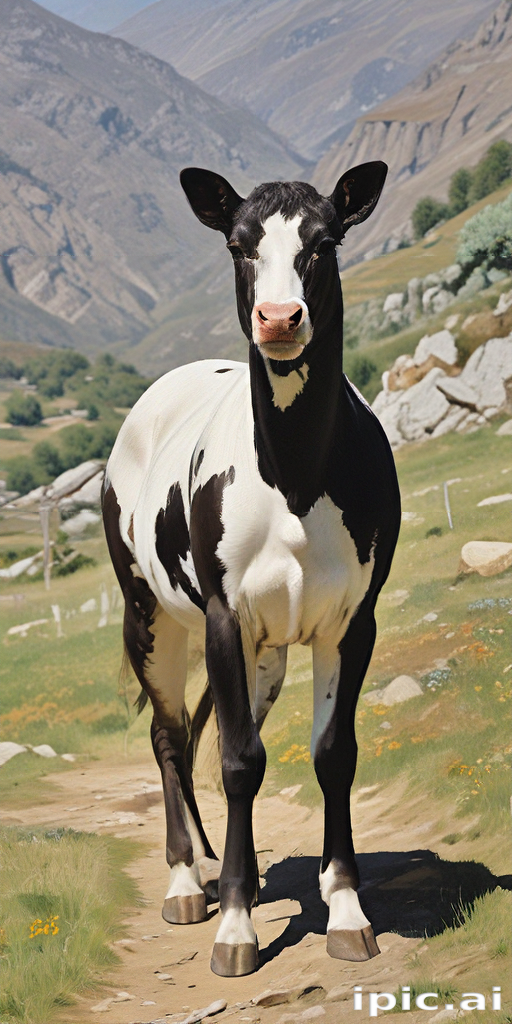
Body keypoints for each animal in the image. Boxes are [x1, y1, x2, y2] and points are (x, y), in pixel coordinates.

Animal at [102, 161, 401, 978]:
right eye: (239, 245)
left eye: (325, 242)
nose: (278, 317)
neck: (295, 474)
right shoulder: (222, 617)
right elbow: (237, 761)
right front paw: (235, 924)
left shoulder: (353, 619)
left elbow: (332, 754)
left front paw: (346, 908)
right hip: (150, 616)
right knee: (171, 737)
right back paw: (188, 880)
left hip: (266, 652)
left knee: (214, 735)